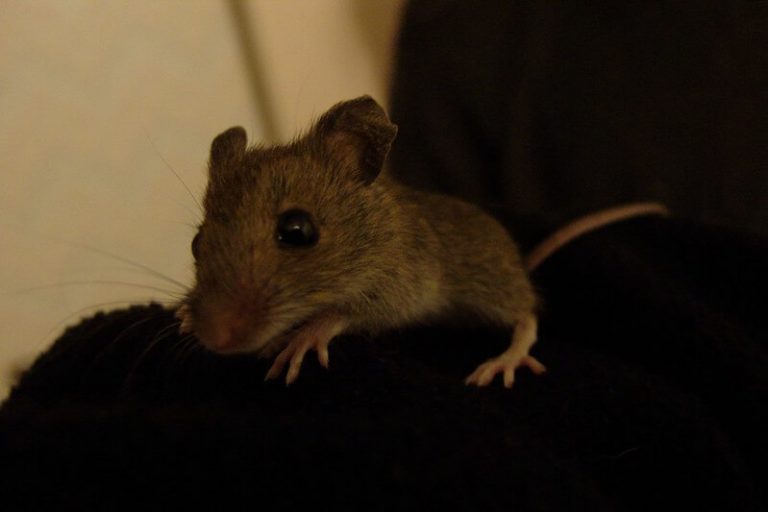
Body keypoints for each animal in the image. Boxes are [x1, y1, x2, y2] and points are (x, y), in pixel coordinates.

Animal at [175, 96, 546, 388]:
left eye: (297, 230)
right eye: (195, 242)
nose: (214, 338)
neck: (374, 226)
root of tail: (521, 265)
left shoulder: (395, 289)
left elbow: (340, 314)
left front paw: (301, 338)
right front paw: (183, 314)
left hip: (491, 285)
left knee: (527, 316)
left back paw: (505, 360)